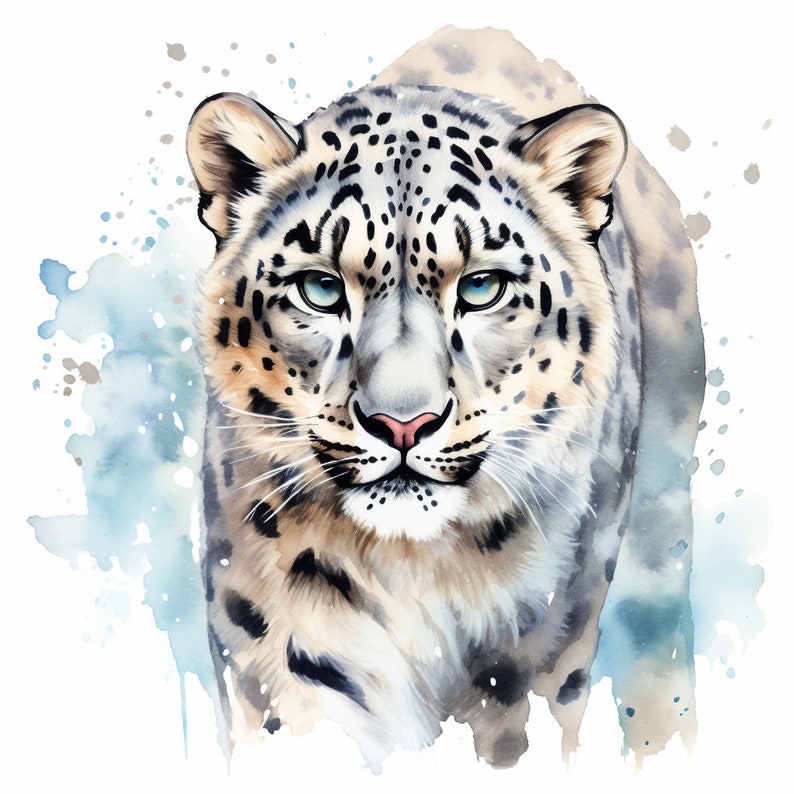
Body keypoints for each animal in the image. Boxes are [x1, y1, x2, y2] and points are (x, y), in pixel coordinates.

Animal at [186, 31, 702, 770]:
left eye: (482, 287)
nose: (404, 424)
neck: (414, 573)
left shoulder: (533, 658)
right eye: (320, 288)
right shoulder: (288, 645)